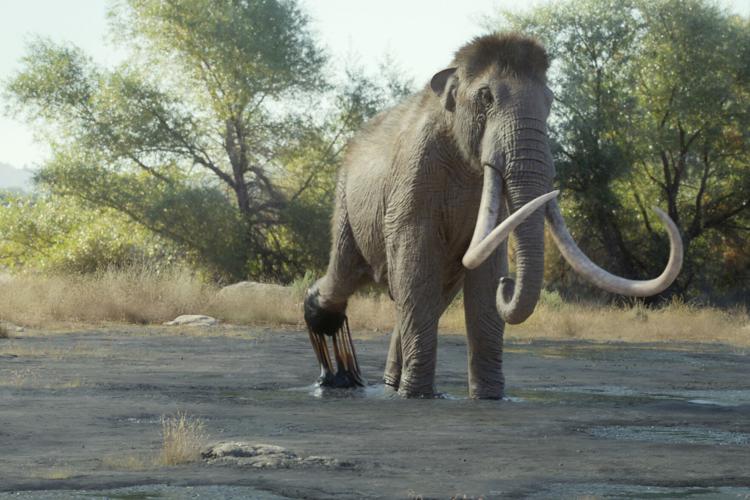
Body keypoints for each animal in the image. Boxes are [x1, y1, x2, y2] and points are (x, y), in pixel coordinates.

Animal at [303, 33, 683, 399]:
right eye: (486, 97)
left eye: (550, 101)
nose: (509, 284)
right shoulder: (412, 178)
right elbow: (416, 269)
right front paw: (419, 397)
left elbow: (483, 278)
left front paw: (489, 398)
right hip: (345, 200)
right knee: (350, 273)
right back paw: (337, 362)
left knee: (428, 294)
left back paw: (384, 384)